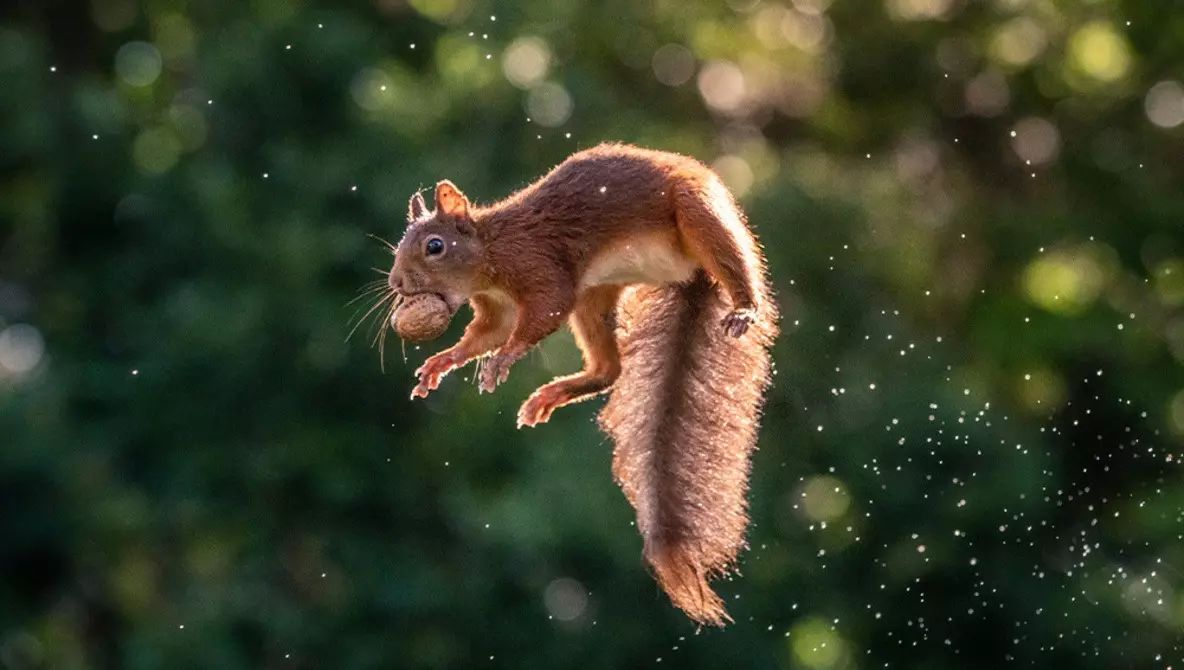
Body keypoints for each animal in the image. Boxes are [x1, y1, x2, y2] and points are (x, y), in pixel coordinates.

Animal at [383, 143, 781, 629]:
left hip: (698, 214)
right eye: (400, 246)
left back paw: (745, 306)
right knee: (610, 370)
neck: (492, 248)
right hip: (596, 298)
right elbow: (487, 335)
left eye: (434, 246)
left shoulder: (538, 264)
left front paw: (503, 360)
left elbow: (544, 312)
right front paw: (444, 361)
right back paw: (556, 392)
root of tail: (692, 273)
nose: (396, 283)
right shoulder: (496, 309)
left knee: (735, 261)